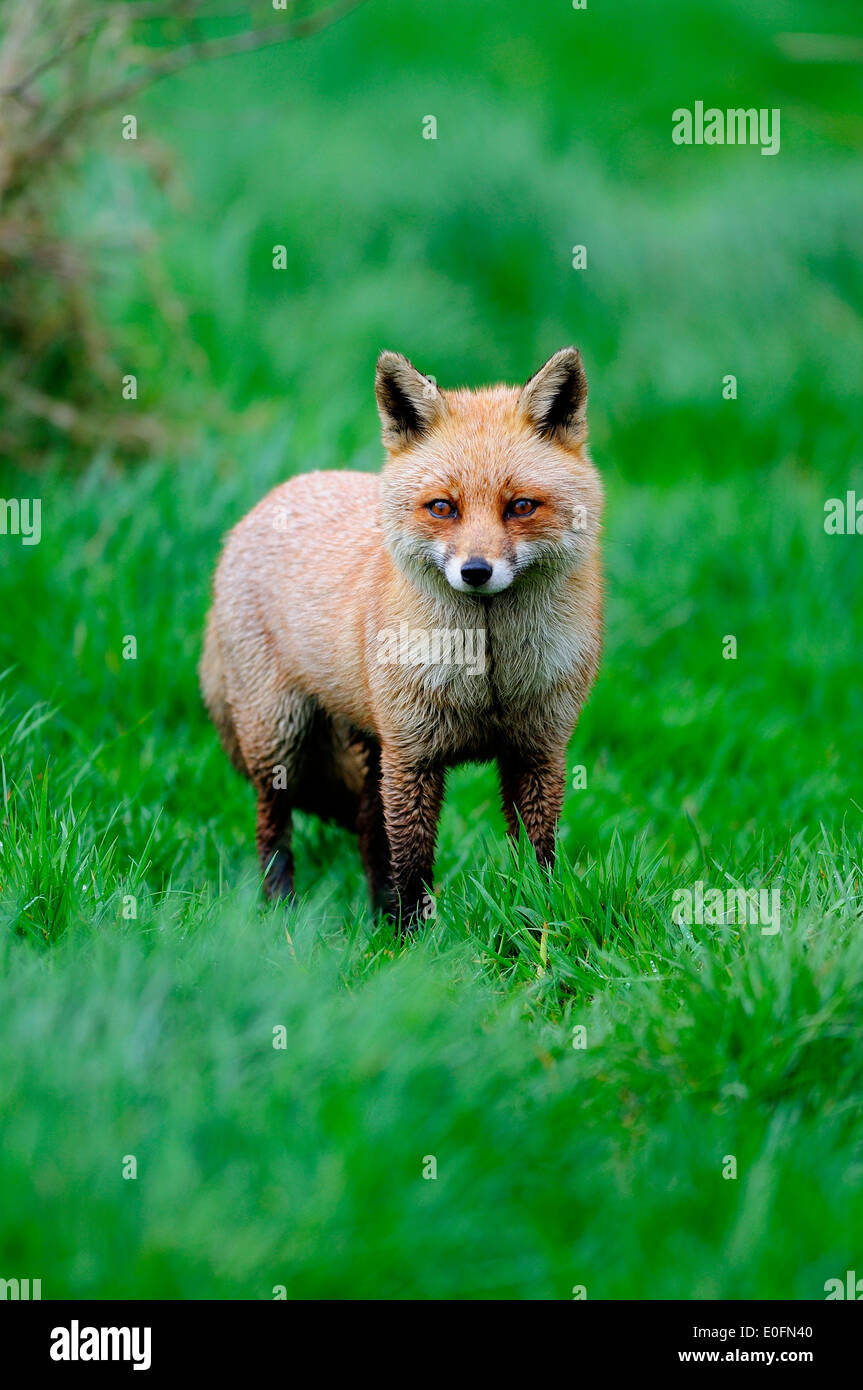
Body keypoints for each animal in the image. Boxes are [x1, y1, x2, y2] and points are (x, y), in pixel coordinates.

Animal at [199, 347, 604, 928]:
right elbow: (411, 864)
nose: (475, 571)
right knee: (273, 826)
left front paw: (540, 923)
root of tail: (268, 501)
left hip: (367, 747)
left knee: (369, 831)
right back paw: (282, 913)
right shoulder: (412, 753)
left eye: (521, 506)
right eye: (443, 507)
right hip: (279, 736)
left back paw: (374, 917)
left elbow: (537, 856)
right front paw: (413, 941)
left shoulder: (537, 749)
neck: (488, 670)